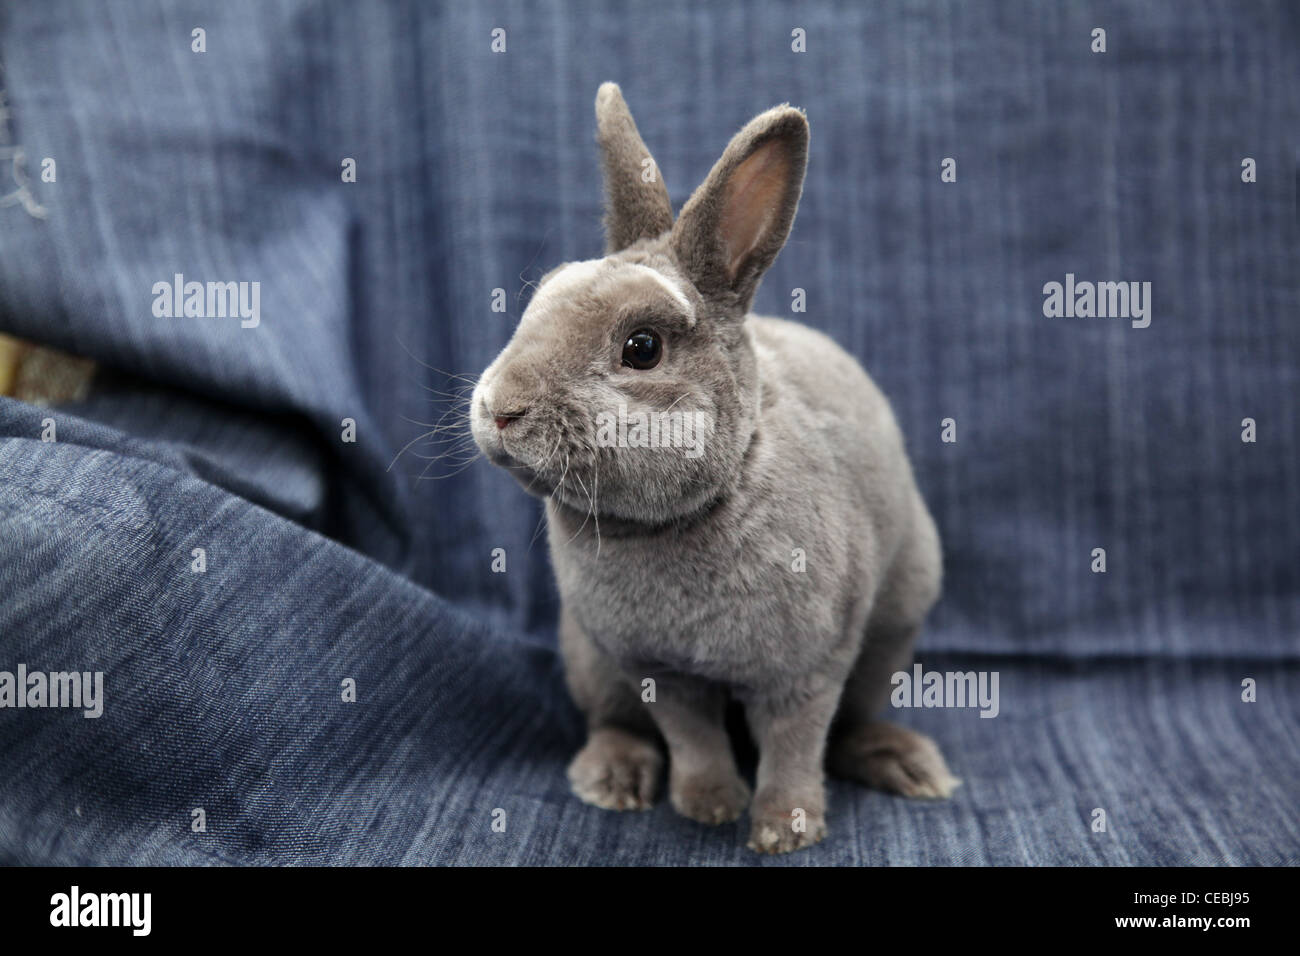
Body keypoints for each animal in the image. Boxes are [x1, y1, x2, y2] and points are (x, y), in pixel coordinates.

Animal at [470, 83, 959, 854]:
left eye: (642, 347)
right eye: (538, 303)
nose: (500, 407)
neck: (682, 514)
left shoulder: (808, 667)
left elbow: (794, 742)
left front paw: (785, 831)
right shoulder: (659, 673)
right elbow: (692, 737)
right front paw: (708, 806)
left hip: (890, 635)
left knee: (849, 723)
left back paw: (905, 765)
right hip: (590, 658)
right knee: (613, 723)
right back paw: (613, 779)